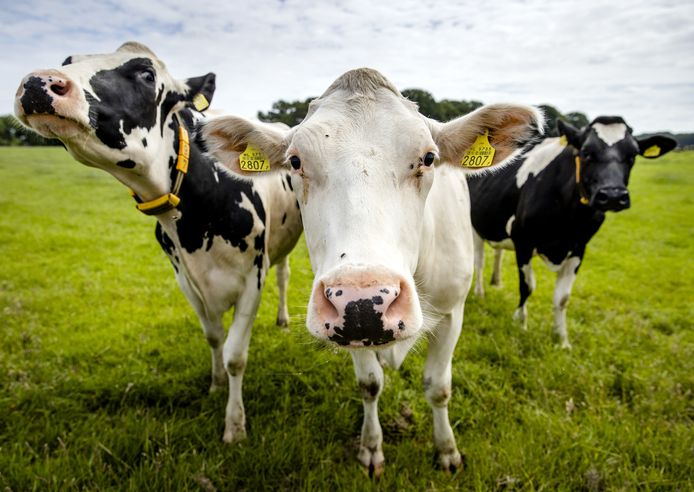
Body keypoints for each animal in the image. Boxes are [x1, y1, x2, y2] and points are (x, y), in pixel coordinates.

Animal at [14, 42, 303, 443]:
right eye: (67, 62)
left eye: (146, 74)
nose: (38, 82)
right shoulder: (186, 279)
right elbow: (214, 337)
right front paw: (215, 385)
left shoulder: (252, 280)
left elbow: (235, 356)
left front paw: (235, 425)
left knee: (284, 276)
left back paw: (283, 319)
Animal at [201, 68, 543, 476]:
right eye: (296, 162)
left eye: (429, 157)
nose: (363, 301)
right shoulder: (352, 331)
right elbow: (369, 384)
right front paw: (371, 448)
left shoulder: (452, 311)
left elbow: (438, 387)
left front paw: (447, 451)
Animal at [468, 116, 677, 348]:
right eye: (586, 153)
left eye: (632, 155)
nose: (613, 195)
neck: (569, 219)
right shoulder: (523, 242)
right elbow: (527, 286)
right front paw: (520, 323)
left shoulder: (579, 247)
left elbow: (563, 297)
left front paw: (562, 339)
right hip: (474, 227)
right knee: (478, 262)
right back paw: (479, 293)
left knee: (498, 252)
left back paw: (496, 282)